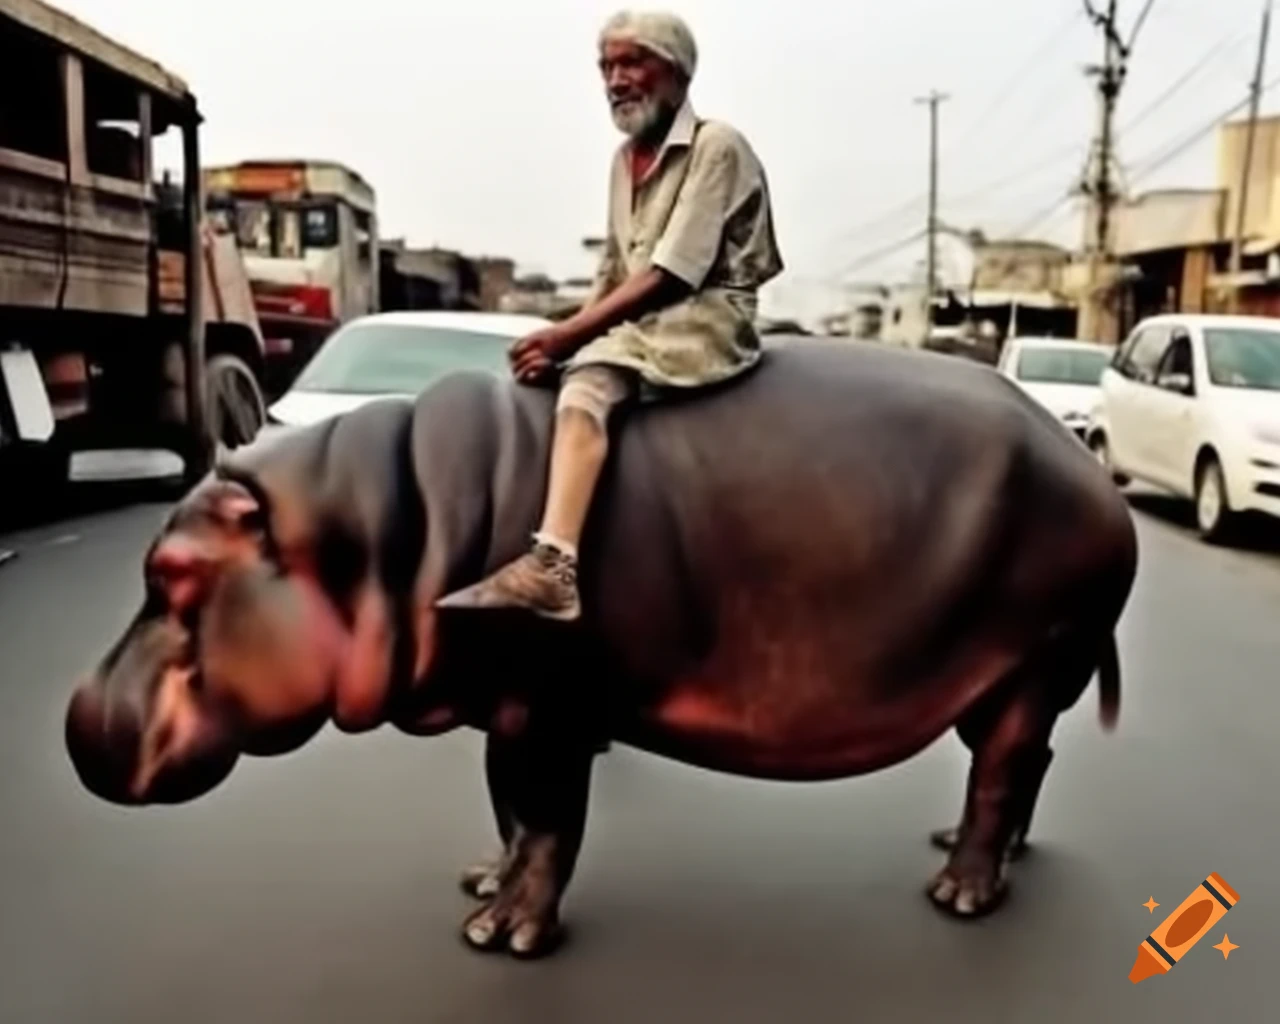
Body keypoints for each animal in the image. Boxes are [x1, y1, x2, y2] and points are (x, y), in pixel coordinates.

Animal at [65, 339, 1137, 958]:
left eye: (174, 575)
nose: (76, 719)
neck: (380, 530)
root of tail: (1092, 468)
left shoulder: (550, 708)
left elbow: (547, 818)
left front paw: (501, 936)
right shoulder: (506, 701)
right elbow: (507, 805)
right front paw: (483, 883)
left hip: (1038, 655)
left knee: (1005, 766)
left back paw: (959, 897)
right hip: (1009, 672)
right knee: (1021, 763)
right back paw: (968, 858)